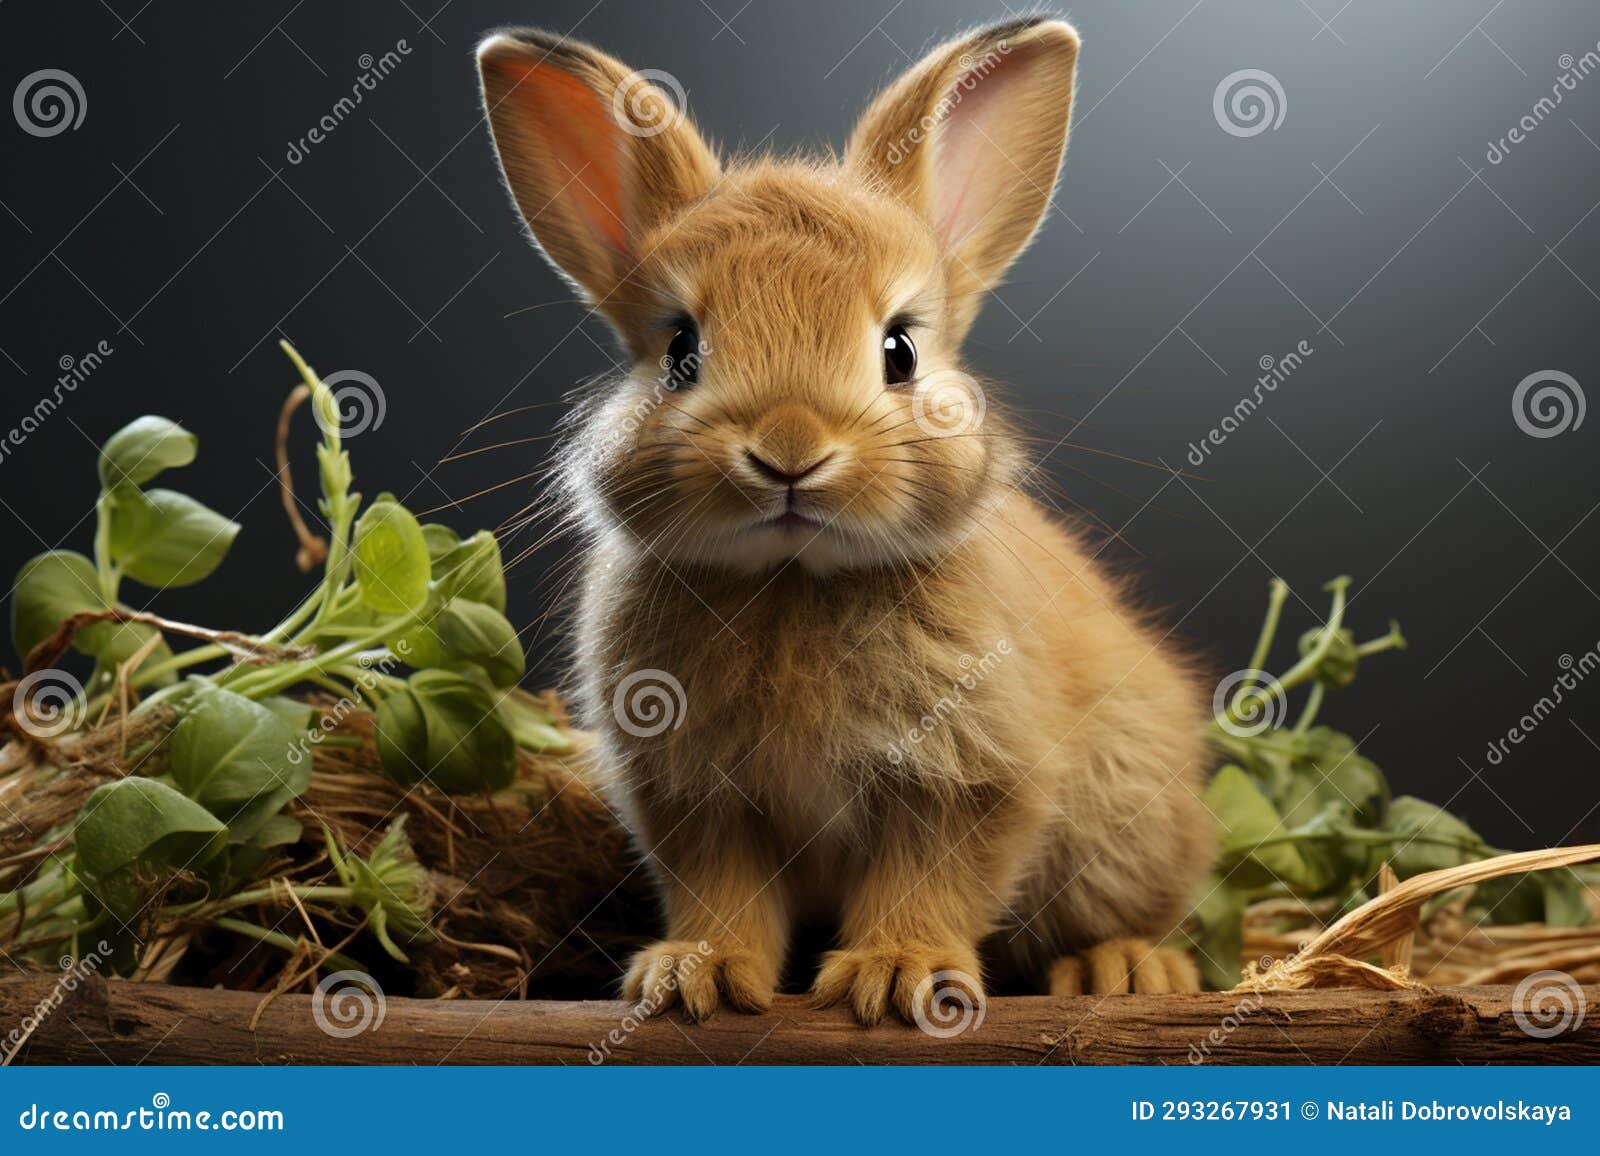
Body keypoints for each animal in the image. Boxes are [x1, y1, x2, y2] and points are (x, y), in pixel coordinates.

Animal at [476, 15, 1215, 1025]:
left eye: (899, 350)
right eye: (680, 352)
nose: (789, 450)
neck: (795, 580)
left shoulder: (967, 780)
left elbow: (929, 881)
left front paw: (900, 974)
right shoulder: (693, 798)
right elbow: (723, 892)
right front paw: (696, 975)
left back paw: (1125, 970)